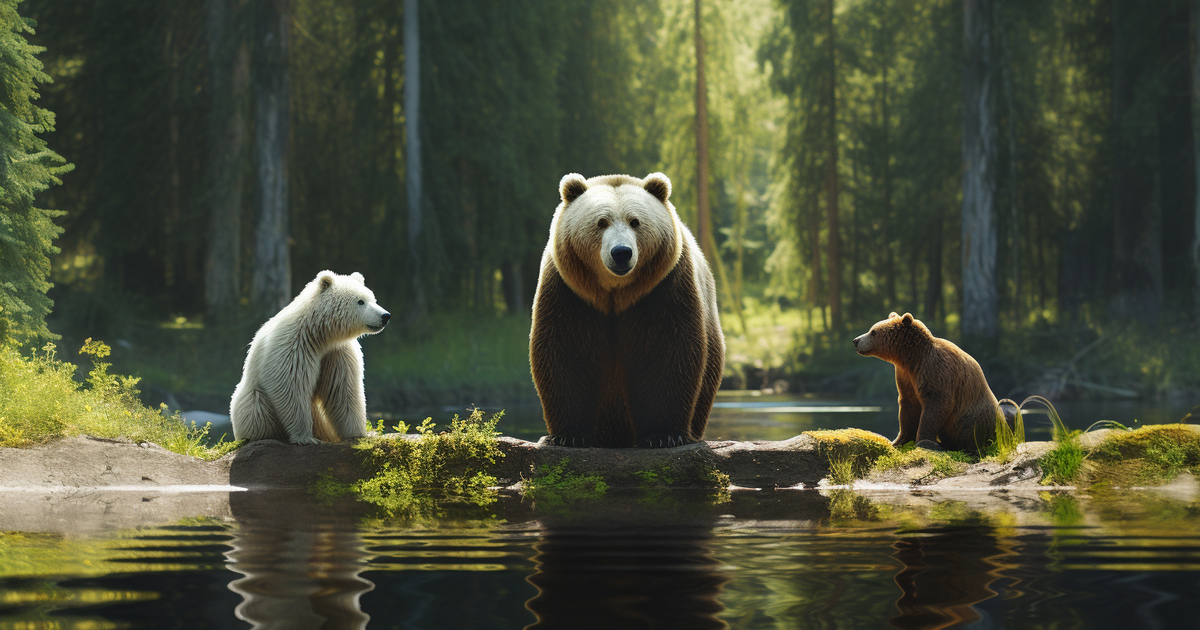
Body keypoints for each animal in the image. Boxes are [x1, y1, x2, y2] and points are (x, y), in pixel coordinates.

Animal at [230, 270, 390, 444]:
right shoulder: (293, 345)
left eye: (373, 298)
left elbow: (343, 389)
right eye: (361, 301)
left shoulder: (337, 351)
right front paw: (305, 438)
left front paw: (360, 434)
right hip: (253, 399)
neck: (319, 333)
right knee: (257, 411)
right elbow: (291, 386)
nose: (385, 316)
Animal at [529, 172, 725, 448]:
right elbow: (566, 351)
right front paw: (568, 435)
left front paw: (663, 435)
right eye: (601, 222)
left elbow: (667, 350)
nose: (621, 252)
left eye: (635, 221)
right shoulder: (569, 291)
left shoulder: (662, 287)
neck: (615, 292)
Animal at [852, 312, 1005, 453]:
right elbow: (907, 407)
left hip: (974, 414)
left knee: (970, 429)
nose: (856, 340)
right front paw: (897, 441)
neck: (912, 359)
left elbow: (936, 404)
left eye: (873, 331)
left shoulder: (936, 369)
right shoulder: (905, 377)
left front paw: (924, 441)